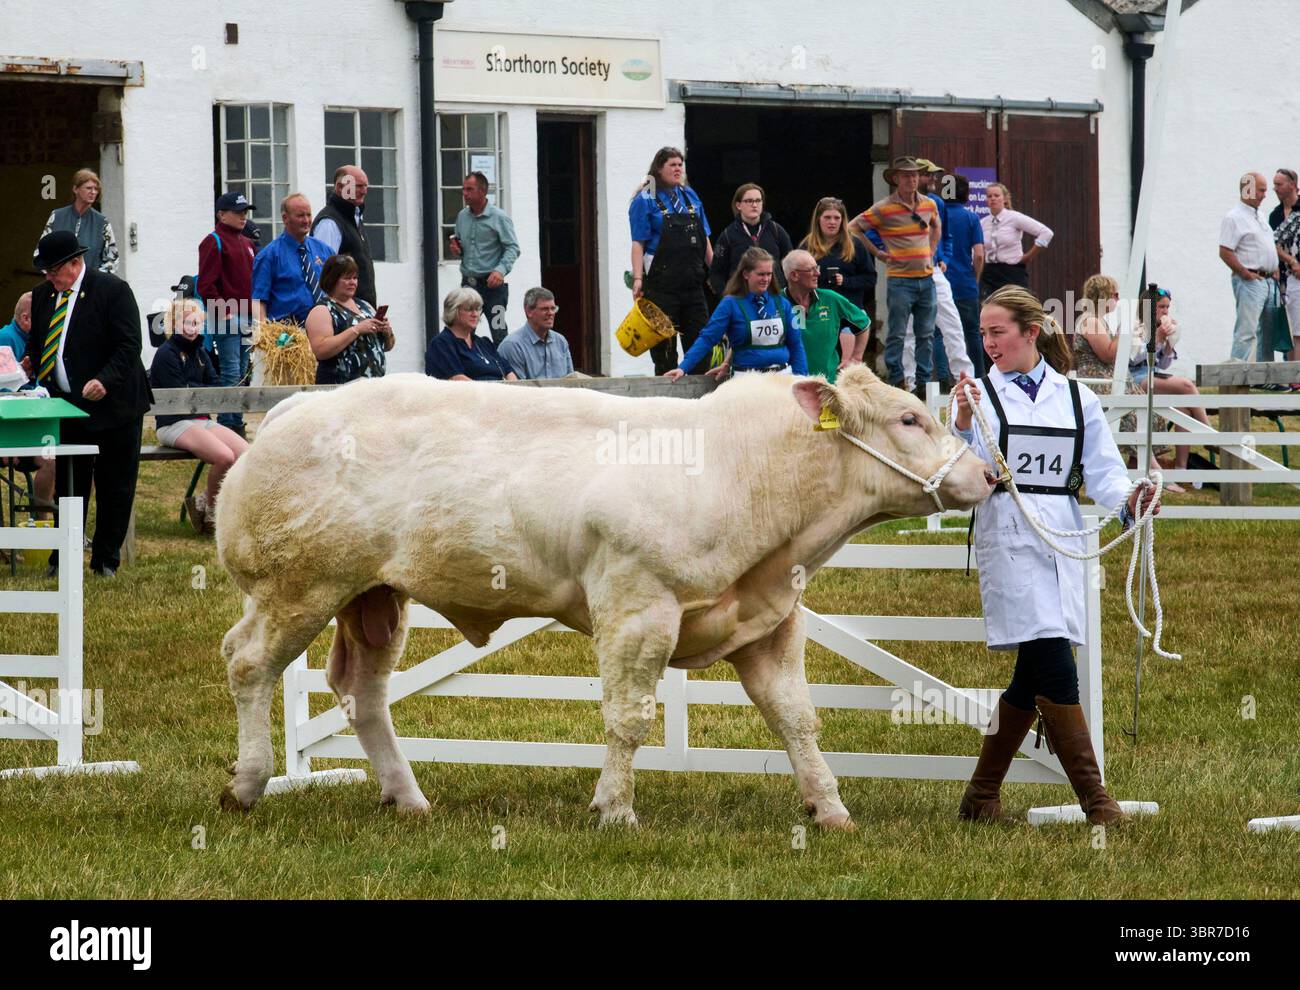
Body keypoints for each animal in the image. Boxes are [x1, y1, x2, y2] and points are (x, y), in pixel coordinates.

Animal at [216, 366, 996, 829]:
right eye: (909, 419)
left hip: (374, 596)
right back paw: (247, 785)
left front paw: (829, 807)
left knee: (362, 690)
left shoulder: (769, 622)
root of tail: (294, 408)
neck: (739, 470)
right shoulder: (635, 607)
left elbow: (797, 719)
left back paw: (407, 797)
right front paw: (615, 810)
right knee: (248, 661)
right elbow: (629, 719)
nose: (990, 475)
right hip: (299, 586)